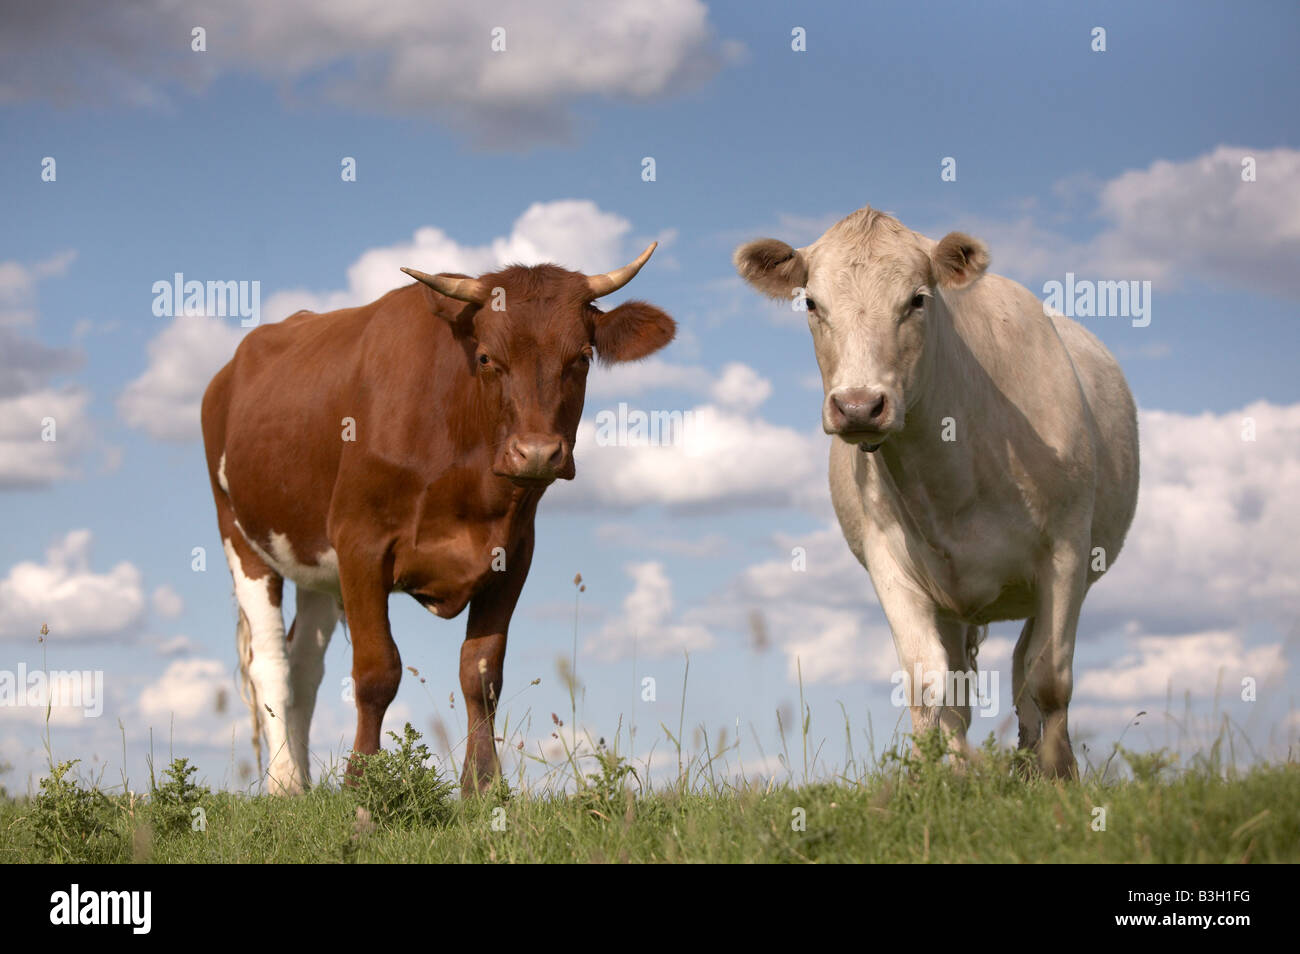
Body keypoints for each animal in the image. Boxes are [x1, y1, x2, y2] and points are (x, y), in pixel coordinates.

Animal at [201, 243, 675, 794]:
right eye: (487, 357)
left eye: (581, 357)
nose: (537, 454)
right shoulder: (360, 543)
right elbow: (377, 671)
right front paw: (361, 784)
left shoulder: (513, 555)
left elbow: (482, 673)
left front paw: (483, 785)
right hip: (241, 538)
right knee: (271, 664)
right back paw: (284, 784)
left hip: (314, 561)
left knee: (303, 667)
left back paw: (301, 782)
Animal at [735, 207, 1139, 778]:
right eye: (812, 303)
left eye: (917, 299)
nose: (859, 406)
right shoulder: (891, 563)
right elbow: (928, 684)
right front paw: (934, 781)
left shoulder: (1065, 551)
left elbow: (1049, 680)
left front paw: (1061, 779)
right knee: (963, 692)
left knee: (1025, 671)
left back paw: (1031, 766)